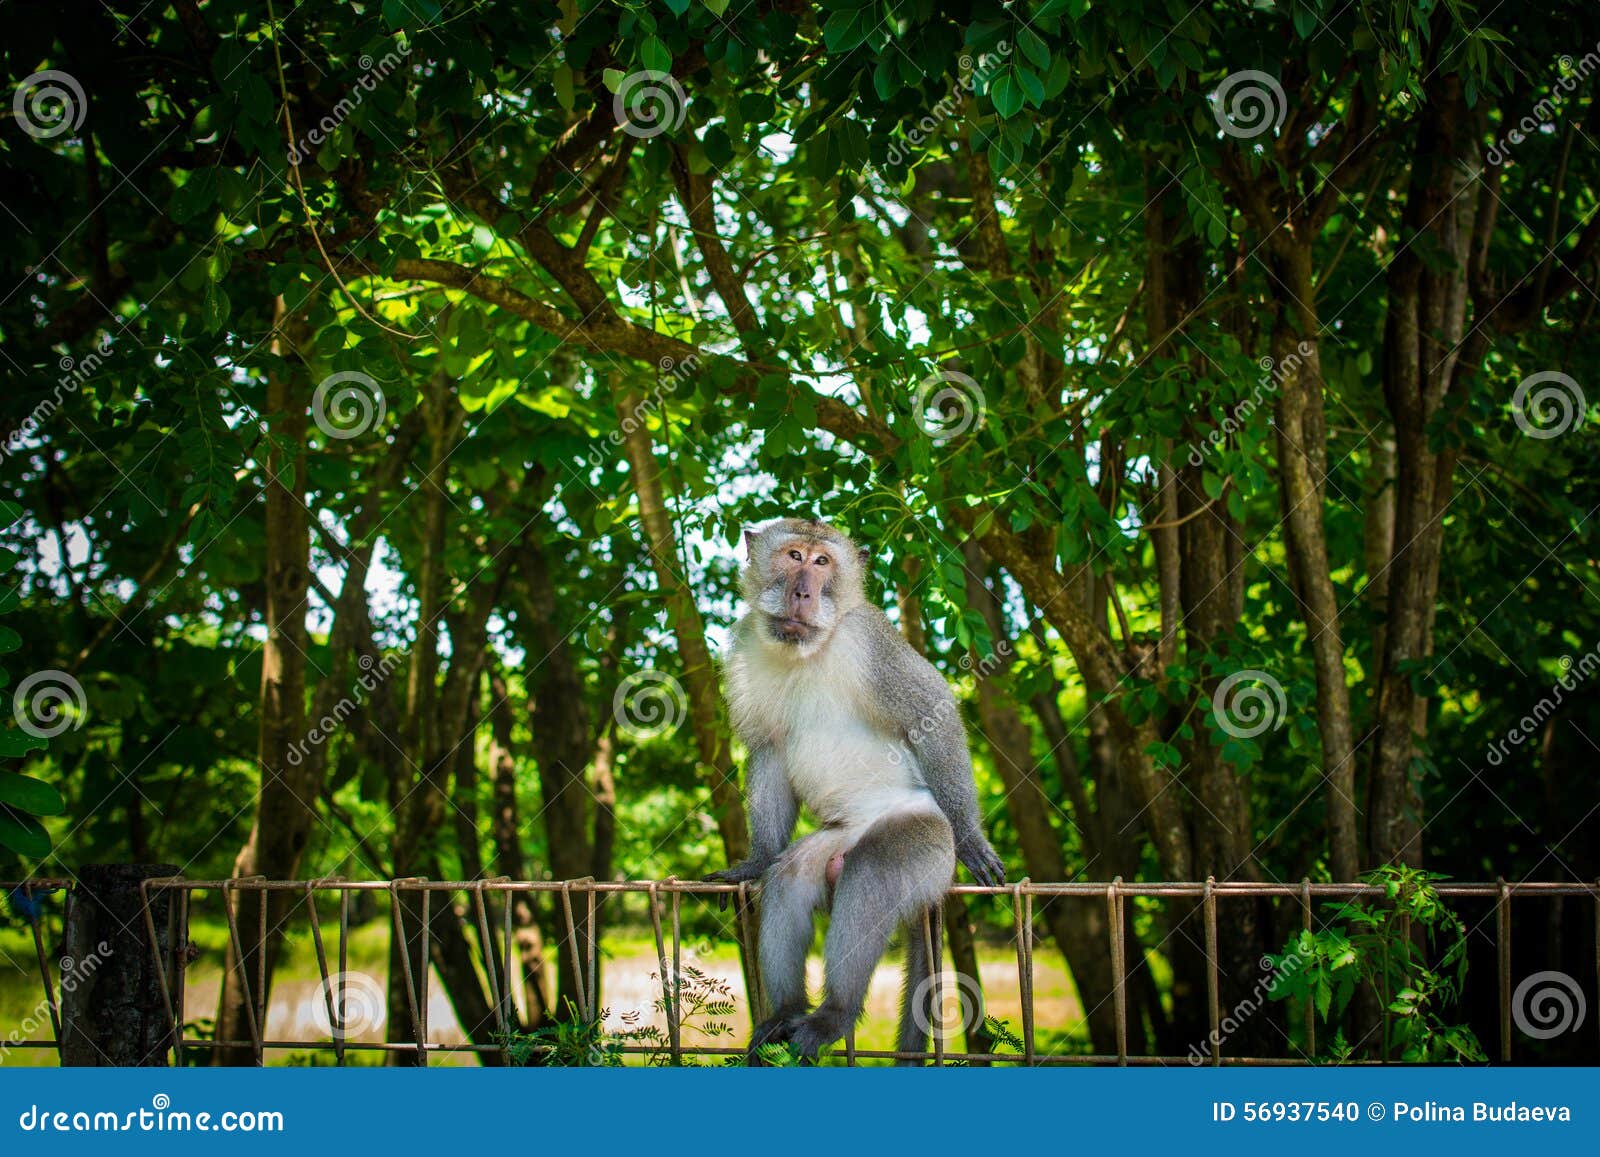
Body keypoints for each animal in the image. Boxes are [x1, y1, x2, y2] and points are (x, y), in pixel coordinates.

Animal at [707, 518, 1005, 1064]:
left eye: (823, 562)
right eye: (795, 555)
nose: (803, 592)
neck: (809, 649)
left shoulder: (869, 642)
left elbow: (932, 711)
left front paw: (974, 840)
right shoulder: (744, 649)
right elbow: (769, 749)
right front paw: (754, 862)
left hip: (929, 845)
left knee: (875, 871)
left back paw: (834, 1015)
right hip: (836, 837)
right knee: (791, 879)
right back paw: (785, 1014)